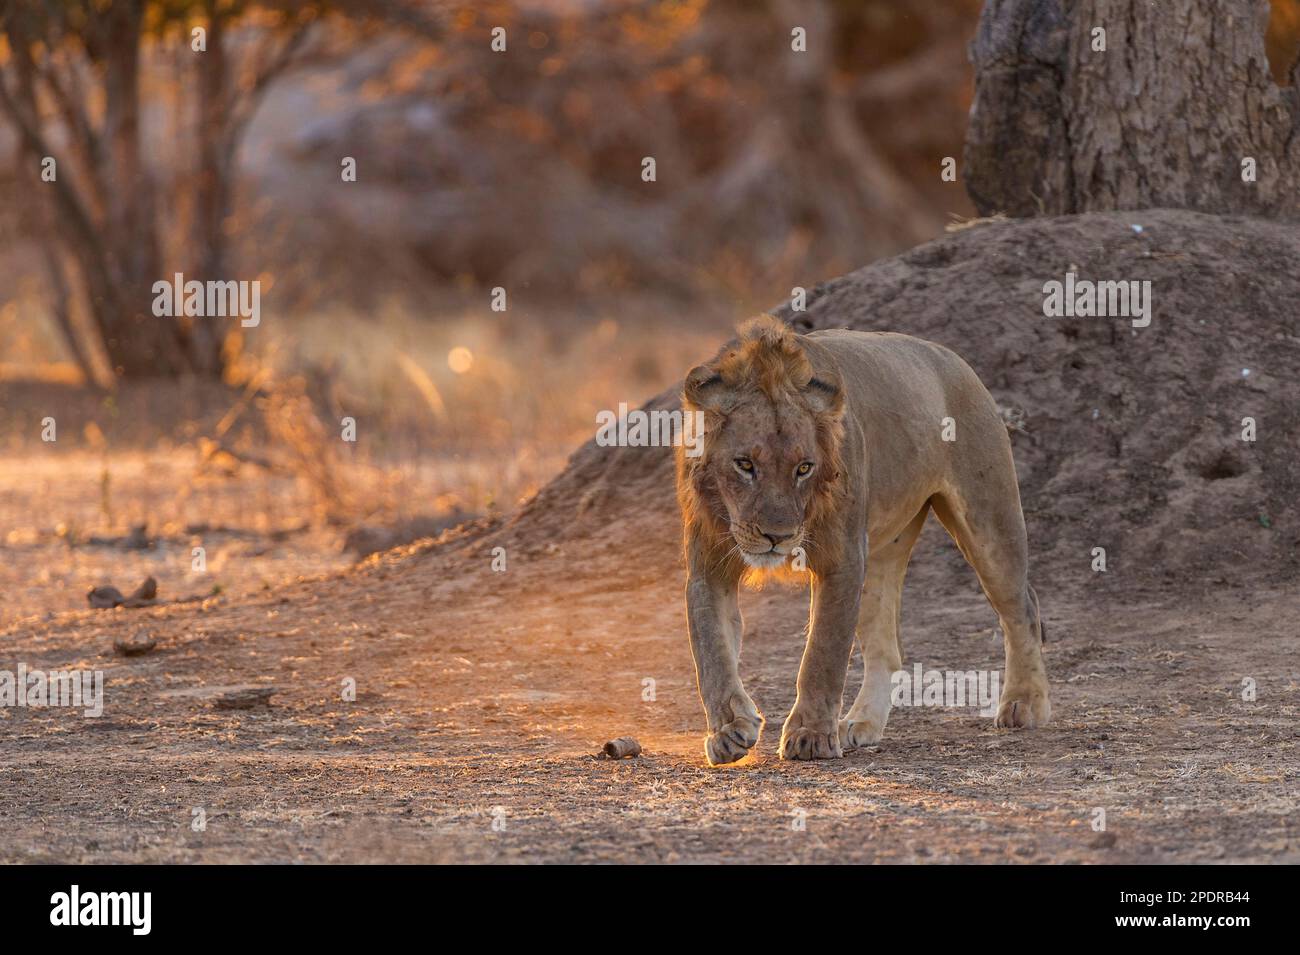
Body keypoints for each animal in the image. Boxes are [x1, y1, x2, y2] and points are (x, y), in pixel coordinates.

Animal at [676, 315, 1050, 765]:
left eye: (804, 468)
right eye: (745, 464)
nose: (777, 537)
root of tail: (954, 359)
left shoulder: (842, 560)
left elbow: (822, 654)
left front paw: (810, 736)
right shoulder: (709, 568)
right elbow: (711, 650)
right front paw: (729, 731)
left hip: (989, 520)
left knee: (1022, 607)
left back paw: (1024, 703)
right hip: (884, 554)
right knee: (887, 649)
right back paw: (862, 723)